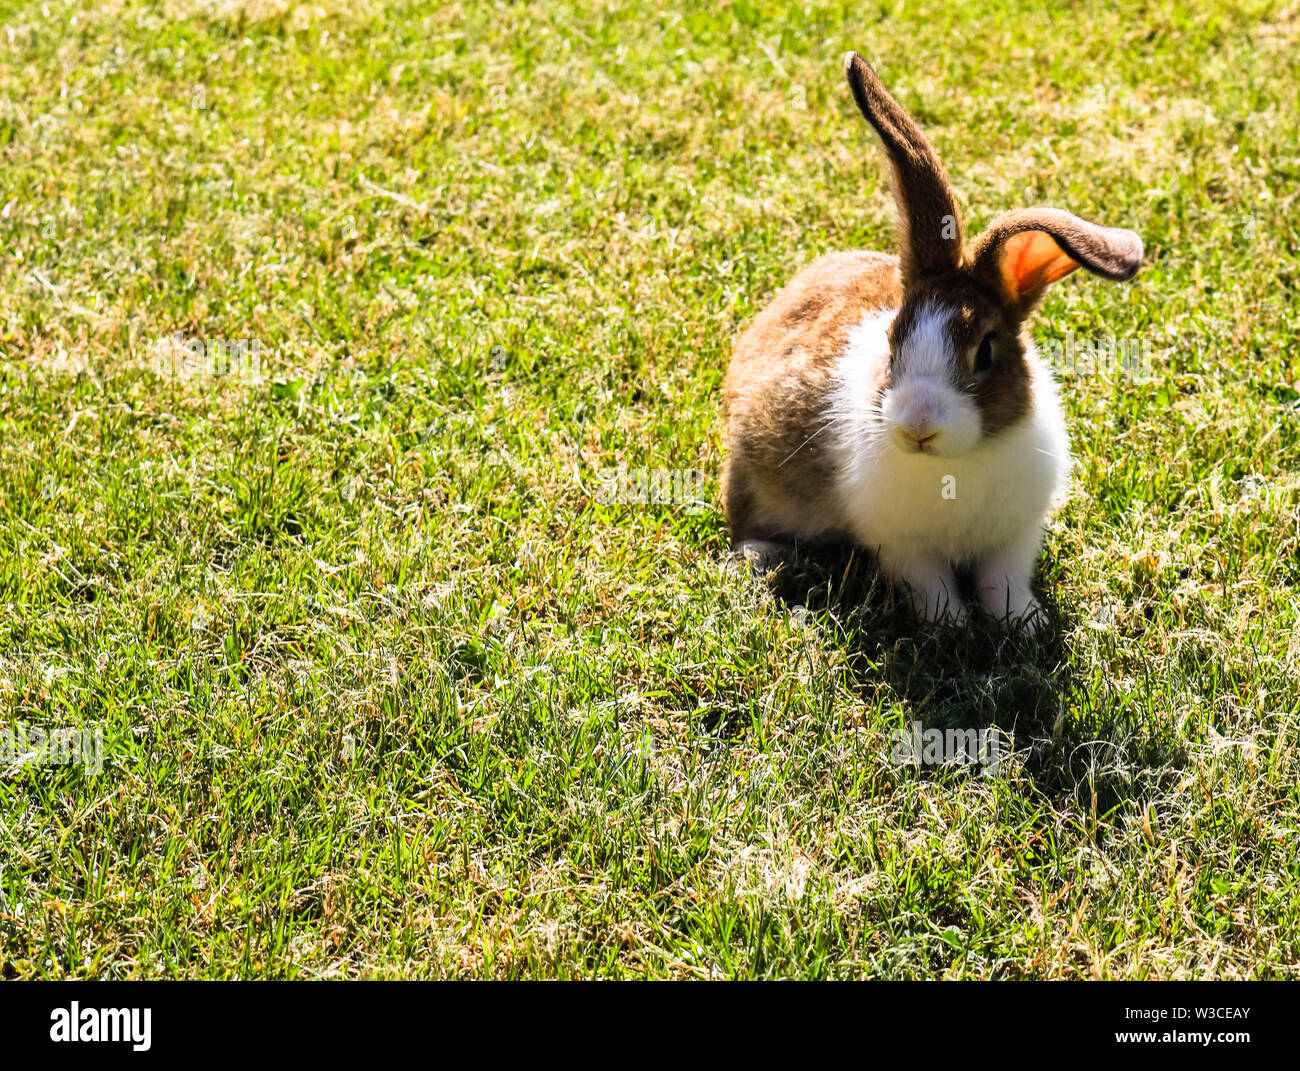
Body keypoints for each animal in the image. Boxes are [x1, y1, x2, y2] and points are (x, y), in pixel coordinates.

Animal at [722, 51, 1144, 627]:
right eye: (893, 342)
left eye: (985, 352)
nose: (917, 427)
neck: (953, 465)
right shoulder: (901, 544)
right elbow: (930, 584)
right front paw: (952, 625)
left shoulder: (1015, 537)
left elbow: (1002, 581)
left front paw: (1023, 623)